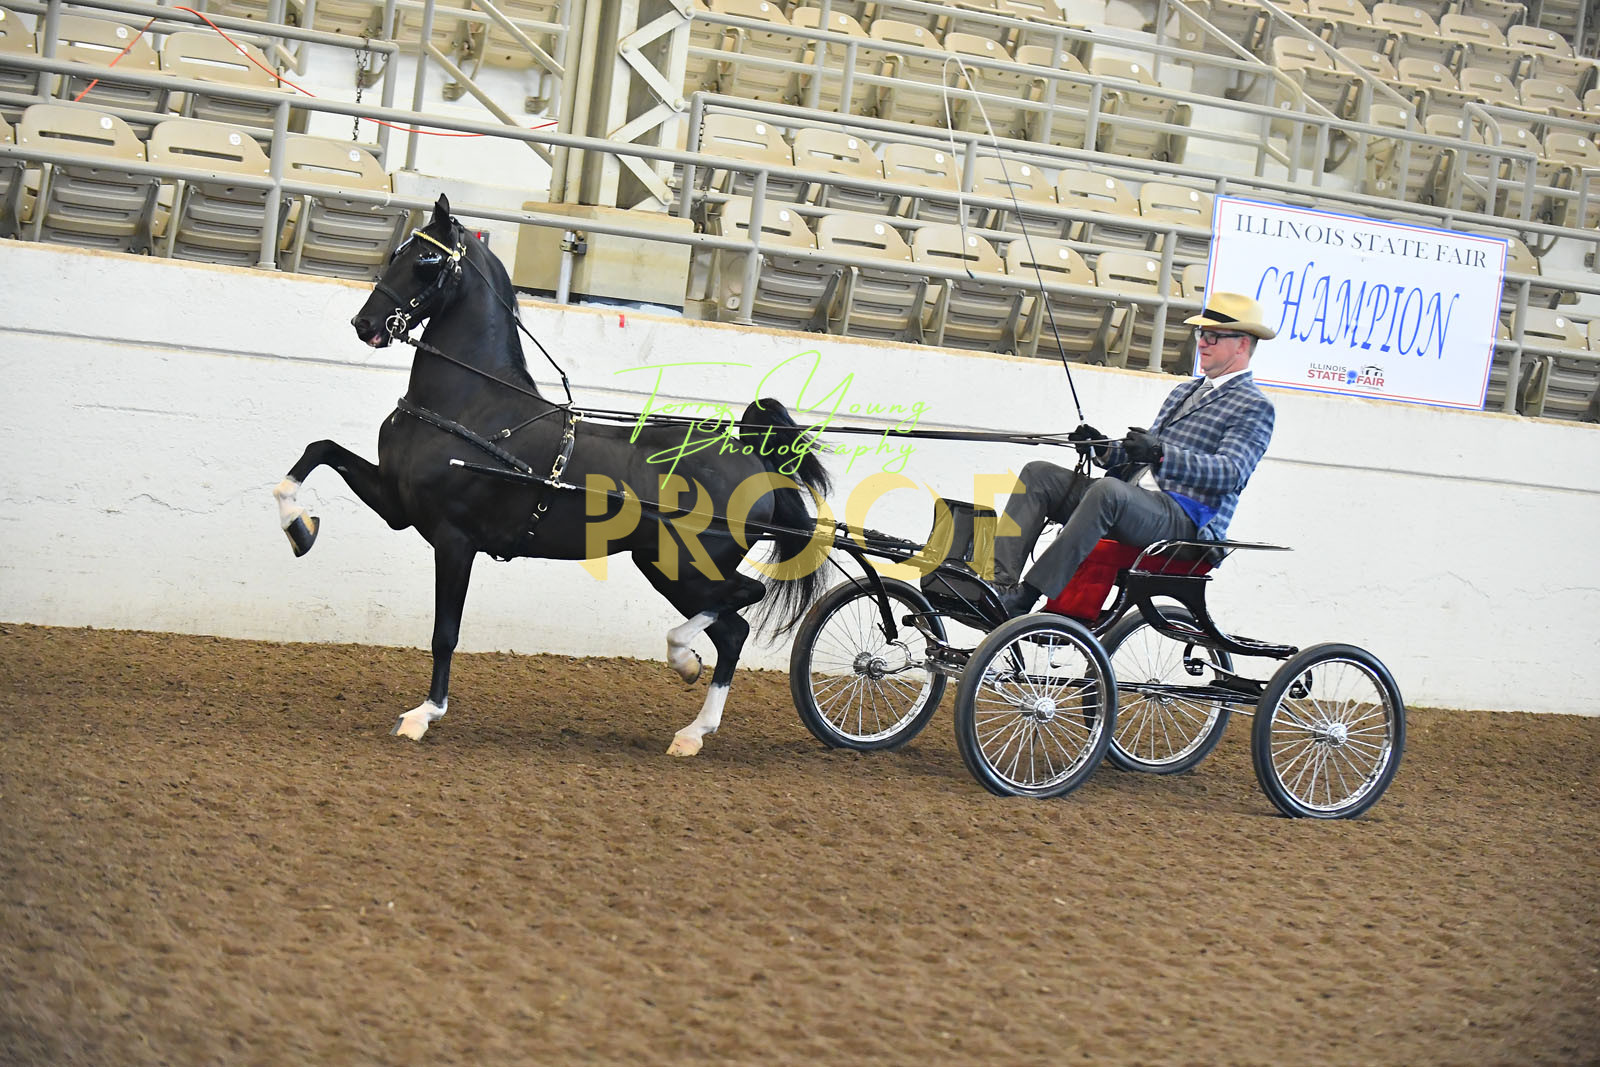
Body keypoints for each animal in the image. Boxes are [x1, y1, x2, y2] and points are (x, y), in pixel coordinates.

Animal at [272, 194, 832, 755]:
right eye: (396, 253)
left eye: (426, 261)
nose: (364, 323)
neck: (473, 408)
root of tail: (753, 456)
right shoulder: (397, 504)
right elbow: (318, 451)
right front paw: (300, 528)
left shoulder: (454, 540)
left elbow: (444, 633)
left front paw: (424, 714)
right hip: (665, 566)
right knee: (731, 629)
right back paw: (692, 725)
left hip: (686, 564)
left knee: (741, 602)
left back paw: (685, 673)